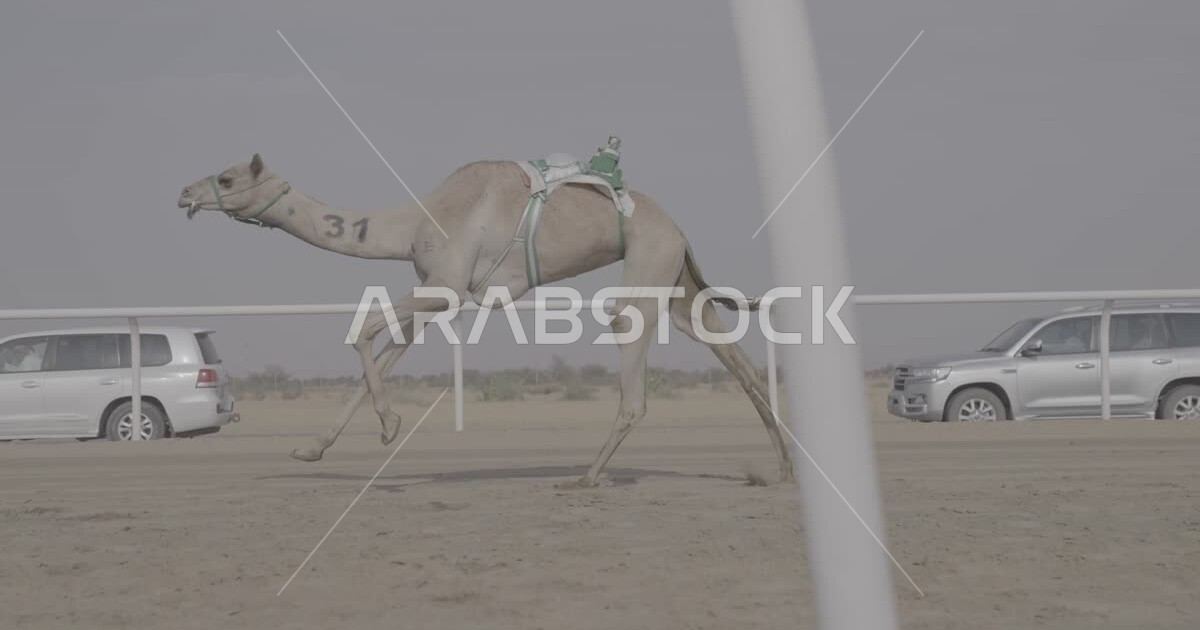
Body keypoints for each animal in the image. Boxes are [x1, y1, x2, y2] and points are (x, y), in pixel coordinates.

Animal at [176, 150, 794, 486]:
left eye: (227, 178)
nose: (184, 193)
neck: (412, 224)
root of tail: (680, 229)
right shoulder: (435, 293)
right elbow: (383, 351)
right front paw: (314, 448)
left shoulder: (447, 285)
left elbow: (362, 330)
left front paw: (390, 425)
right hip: (676, 284)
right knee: (737, 361)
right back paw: (780, 469)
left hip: (648, 265)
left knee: (633, 358)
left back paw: (586, 477)